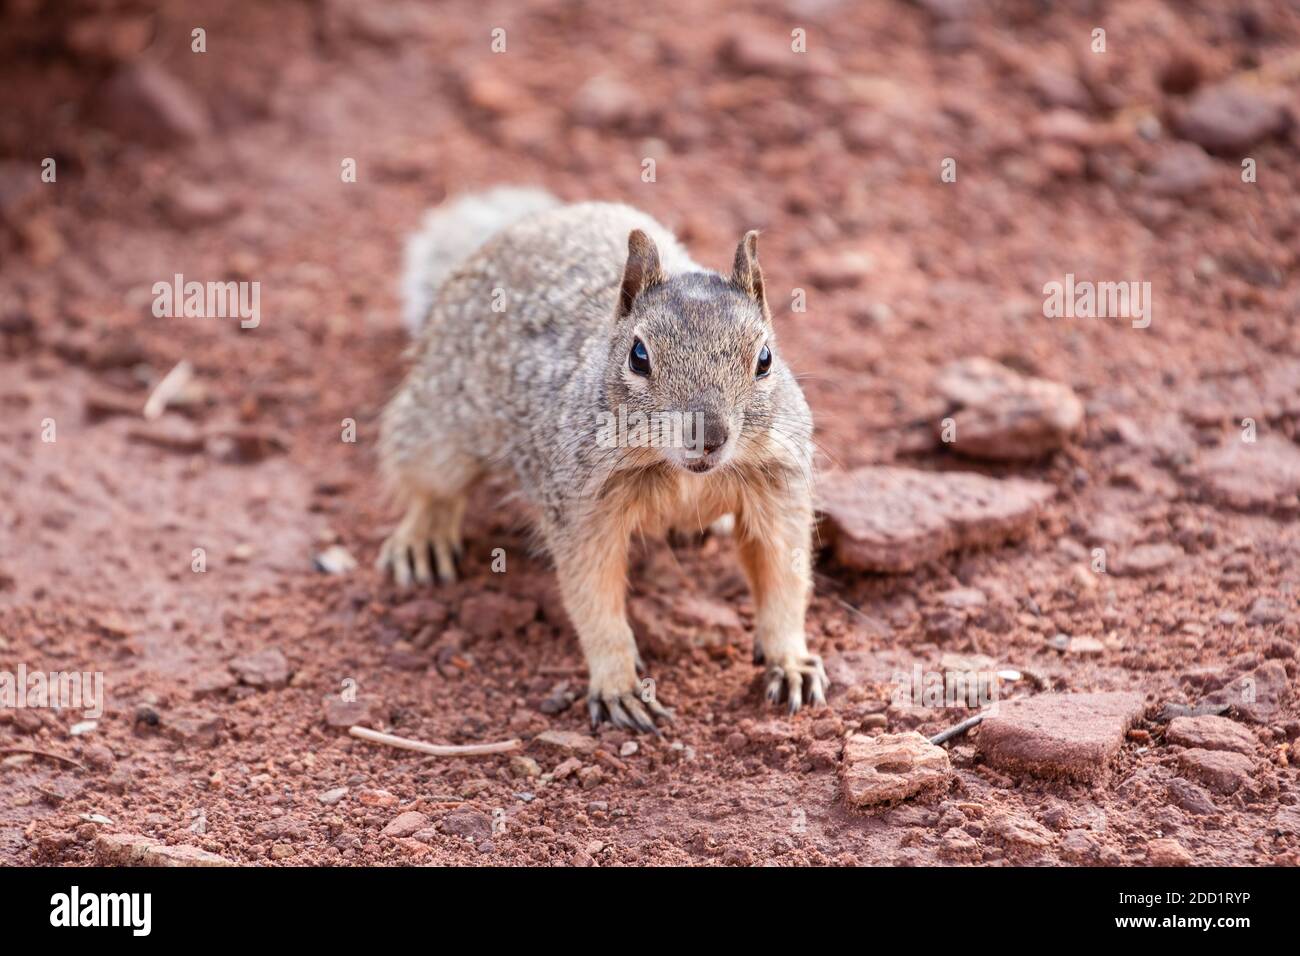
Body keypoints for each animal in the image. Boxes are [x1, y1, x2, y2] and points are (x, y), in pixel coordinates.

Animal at [378, 187, 827, 731]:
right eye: (638, 356)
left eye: (765, 359)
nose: (709, 436)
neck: (682, 474)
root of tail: (535, 221)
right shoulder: (582, 511)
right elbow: (594, 600)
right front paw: (620, 687)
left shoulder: (777, 488)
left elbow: (784, 579)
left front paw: (791, 662)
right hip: (439, 429)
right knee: (425, 479)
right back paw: (423, 540)